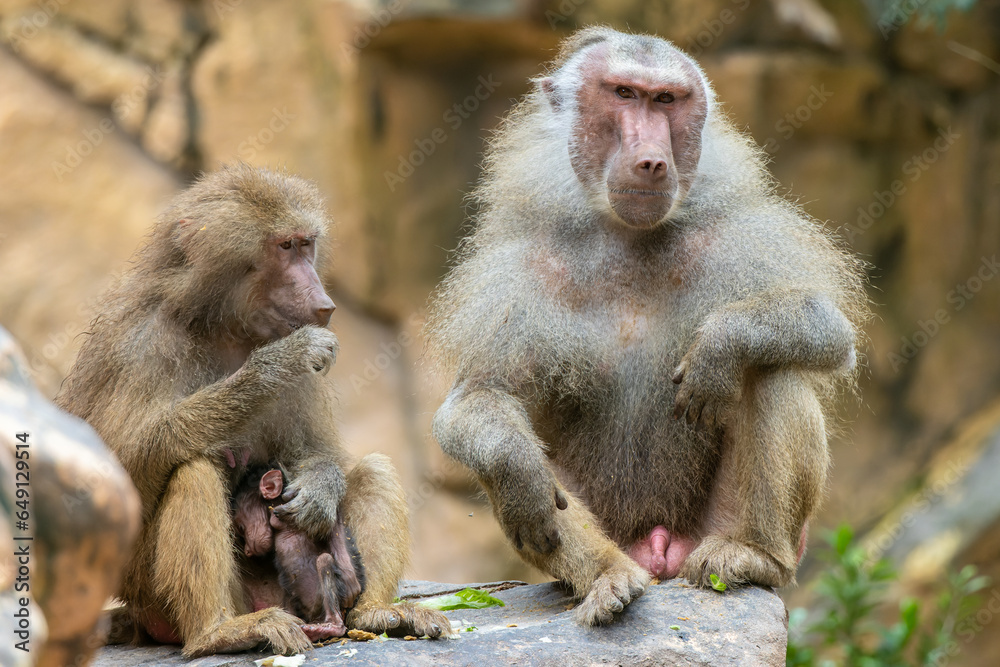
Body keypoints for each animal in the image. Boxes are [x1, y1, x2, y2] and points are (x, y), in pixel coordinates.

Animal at [231, 465, 366, 641]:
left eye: (241, 527)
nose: (247, 550)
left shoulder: (302, 512)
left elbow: (333, 523)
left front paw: (349, 577)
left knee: (324, 560)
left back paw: (332, 627)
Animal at [427, 27, 869, 626]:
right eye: (623, 93)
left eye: (666, 100)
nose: (653, 161)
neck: (627, 238)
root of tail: (660, 550)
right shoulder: (518, 269)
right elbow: (476, 400)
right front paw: (519, 471)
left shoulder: (734, 233)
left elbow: (829, 331)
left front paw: (718, 349)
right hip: (616, 531)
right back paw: (607, 578)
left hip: (707, 532)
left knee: (774, 372)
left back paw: (752, 555)